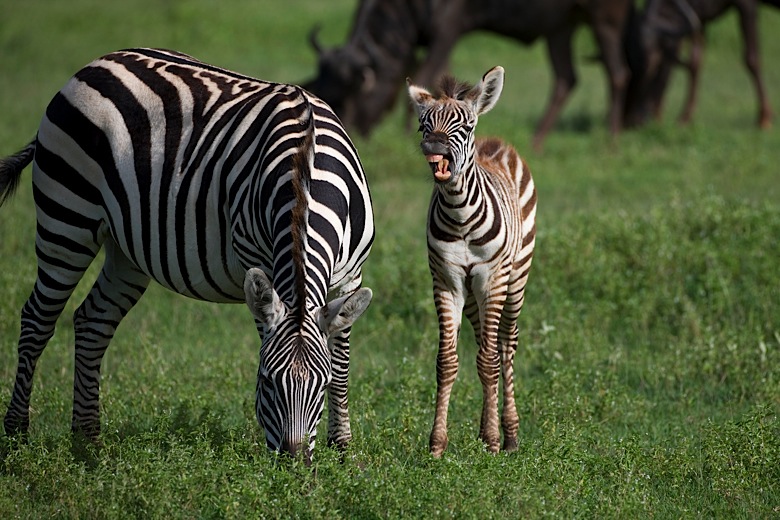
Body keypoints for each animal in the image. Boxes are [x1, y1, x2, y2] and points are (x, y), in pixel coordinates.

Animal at [0, 48, 375, 463]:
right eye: (265, 381)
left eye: (321, 387)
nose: (291, 463)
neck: (303, 174)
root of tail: (97, 63)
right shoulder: (258, 261)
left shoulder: (351, 275)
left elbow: (342, 359)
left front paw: (343, 448)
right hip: (65, 218)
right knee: (37, 319)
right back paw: (17, 434)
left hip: (126, 248)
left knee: (92, 320)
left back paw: (87, 441)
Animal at [407, 66, 537, 457]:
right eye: (423, 126)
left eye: (464, 127)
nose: (434, 147)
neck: (460, 214)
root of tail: (495, 143)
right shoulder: (446, 282)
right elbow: (447, 362)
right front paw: (437, 445)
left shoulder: (492, 280)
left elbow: (490, 361)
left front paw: (494, 441)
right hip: (472, 291)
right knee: (485, 341)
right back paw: (484, 428)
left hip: (515, 277)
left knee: (505, 346)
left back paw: (509, 434)